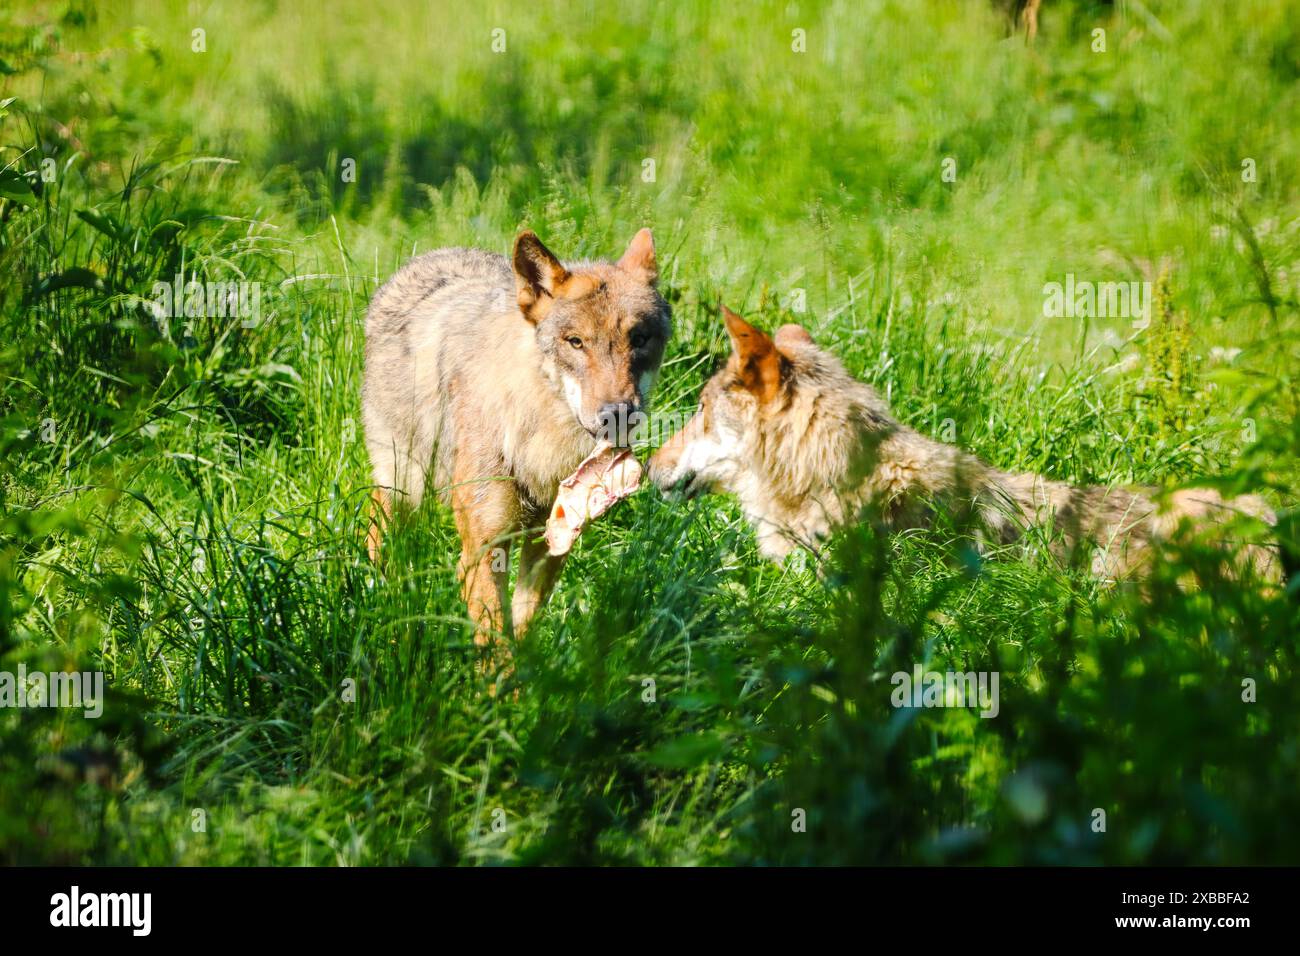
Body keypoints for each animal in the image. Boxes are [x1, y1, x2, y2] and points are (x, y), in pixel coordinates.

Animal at [362, 229, 670, 641]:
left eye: (638, 339)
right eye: (575, 342)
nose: (617, 414)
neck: (537, 433)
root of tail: (432, 255)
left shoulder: (551, 540)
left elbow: (523, 624)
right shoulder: (483, 549)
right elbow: (497, 642)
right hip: (402, 483)